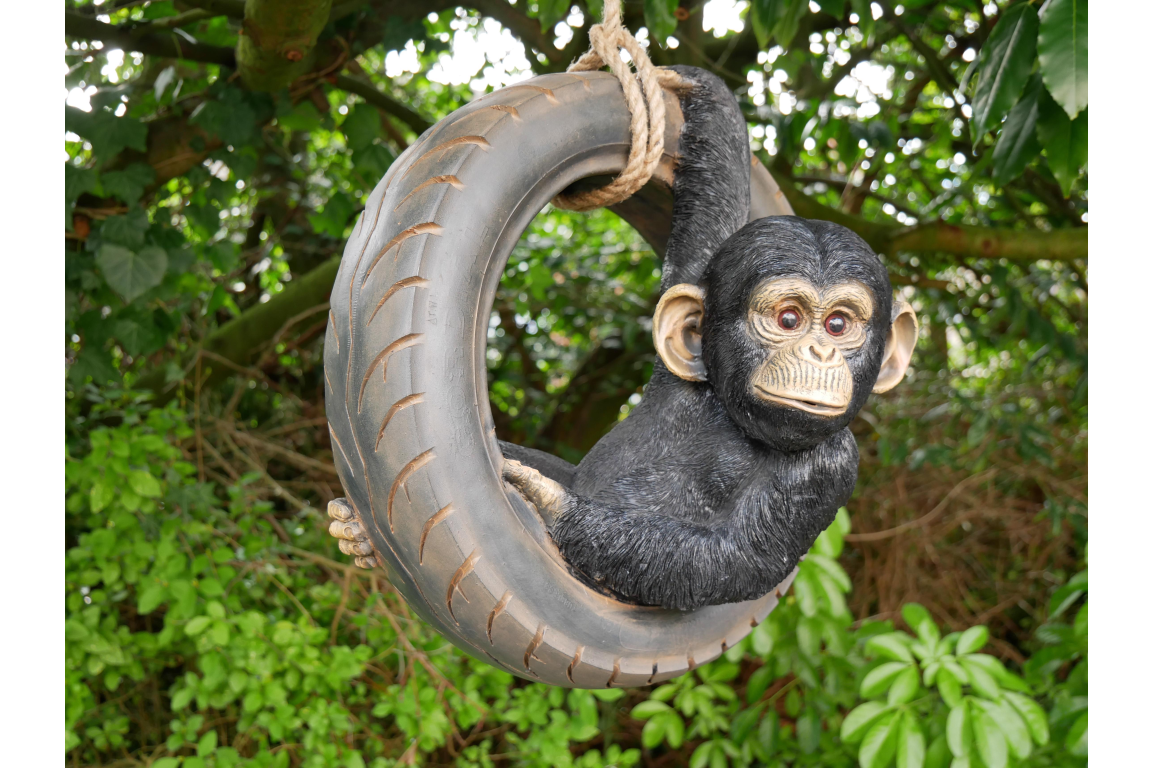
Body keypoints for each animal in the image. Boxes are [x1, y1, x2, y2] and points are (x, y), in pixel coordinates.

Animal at [499, 66, 917, 611]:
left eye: (838, 325)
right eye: (788, 319)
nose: (820, 350)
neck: (732, 419)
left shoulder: (832, 466)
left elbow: (730, 561)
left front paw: (547, 497)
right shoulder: (697, 289)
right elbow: (715, 207)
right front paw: (682, 80)